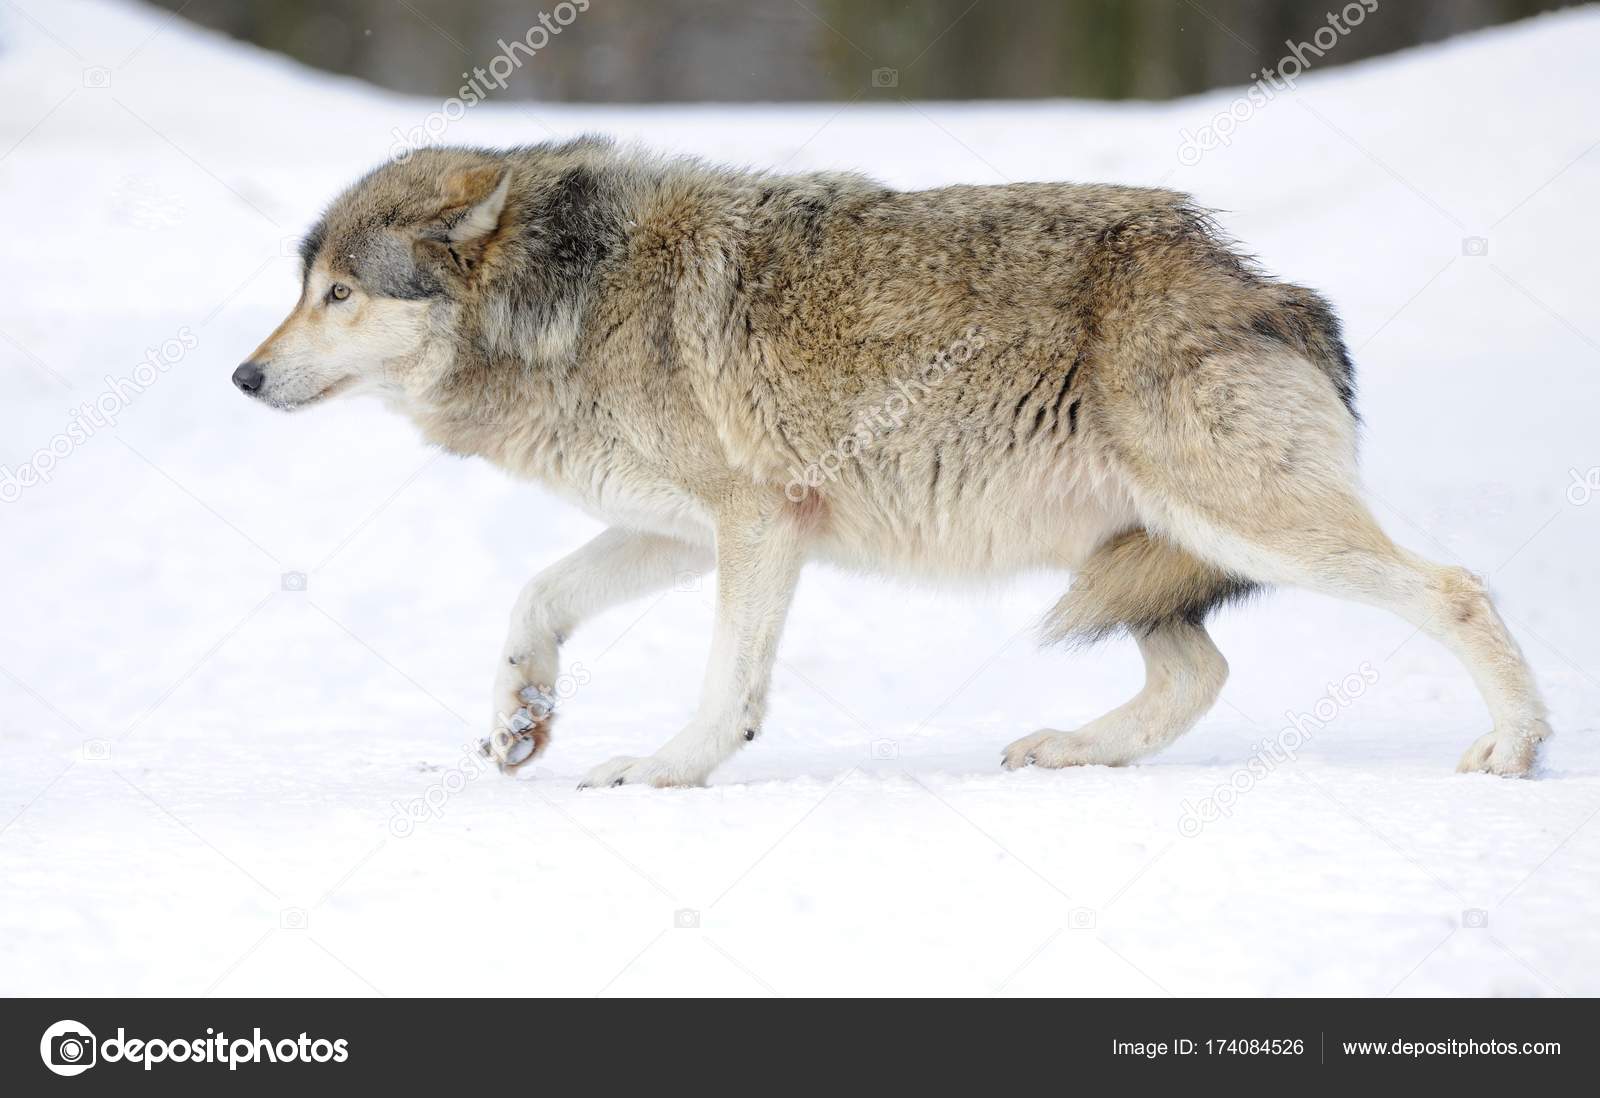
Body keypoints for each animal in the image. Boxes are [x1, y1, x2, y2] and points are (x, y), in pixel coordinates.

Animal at [236, 138, 1550, 787]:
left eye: (339, 293)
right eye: (303, 288)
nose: (243, 378)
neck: (568, 295)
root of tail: (1260, 283)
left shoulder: (758, 524)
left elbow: (725, 687)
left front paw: (663, 770)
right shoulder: (683, 529)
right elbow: (536, 598)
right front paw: (521, 723)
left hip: (1238, 524)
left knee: (1456, 590)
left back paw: (1513, 748)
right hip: (1133, 553)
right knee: (1199, 675)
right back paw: (1069, 753)